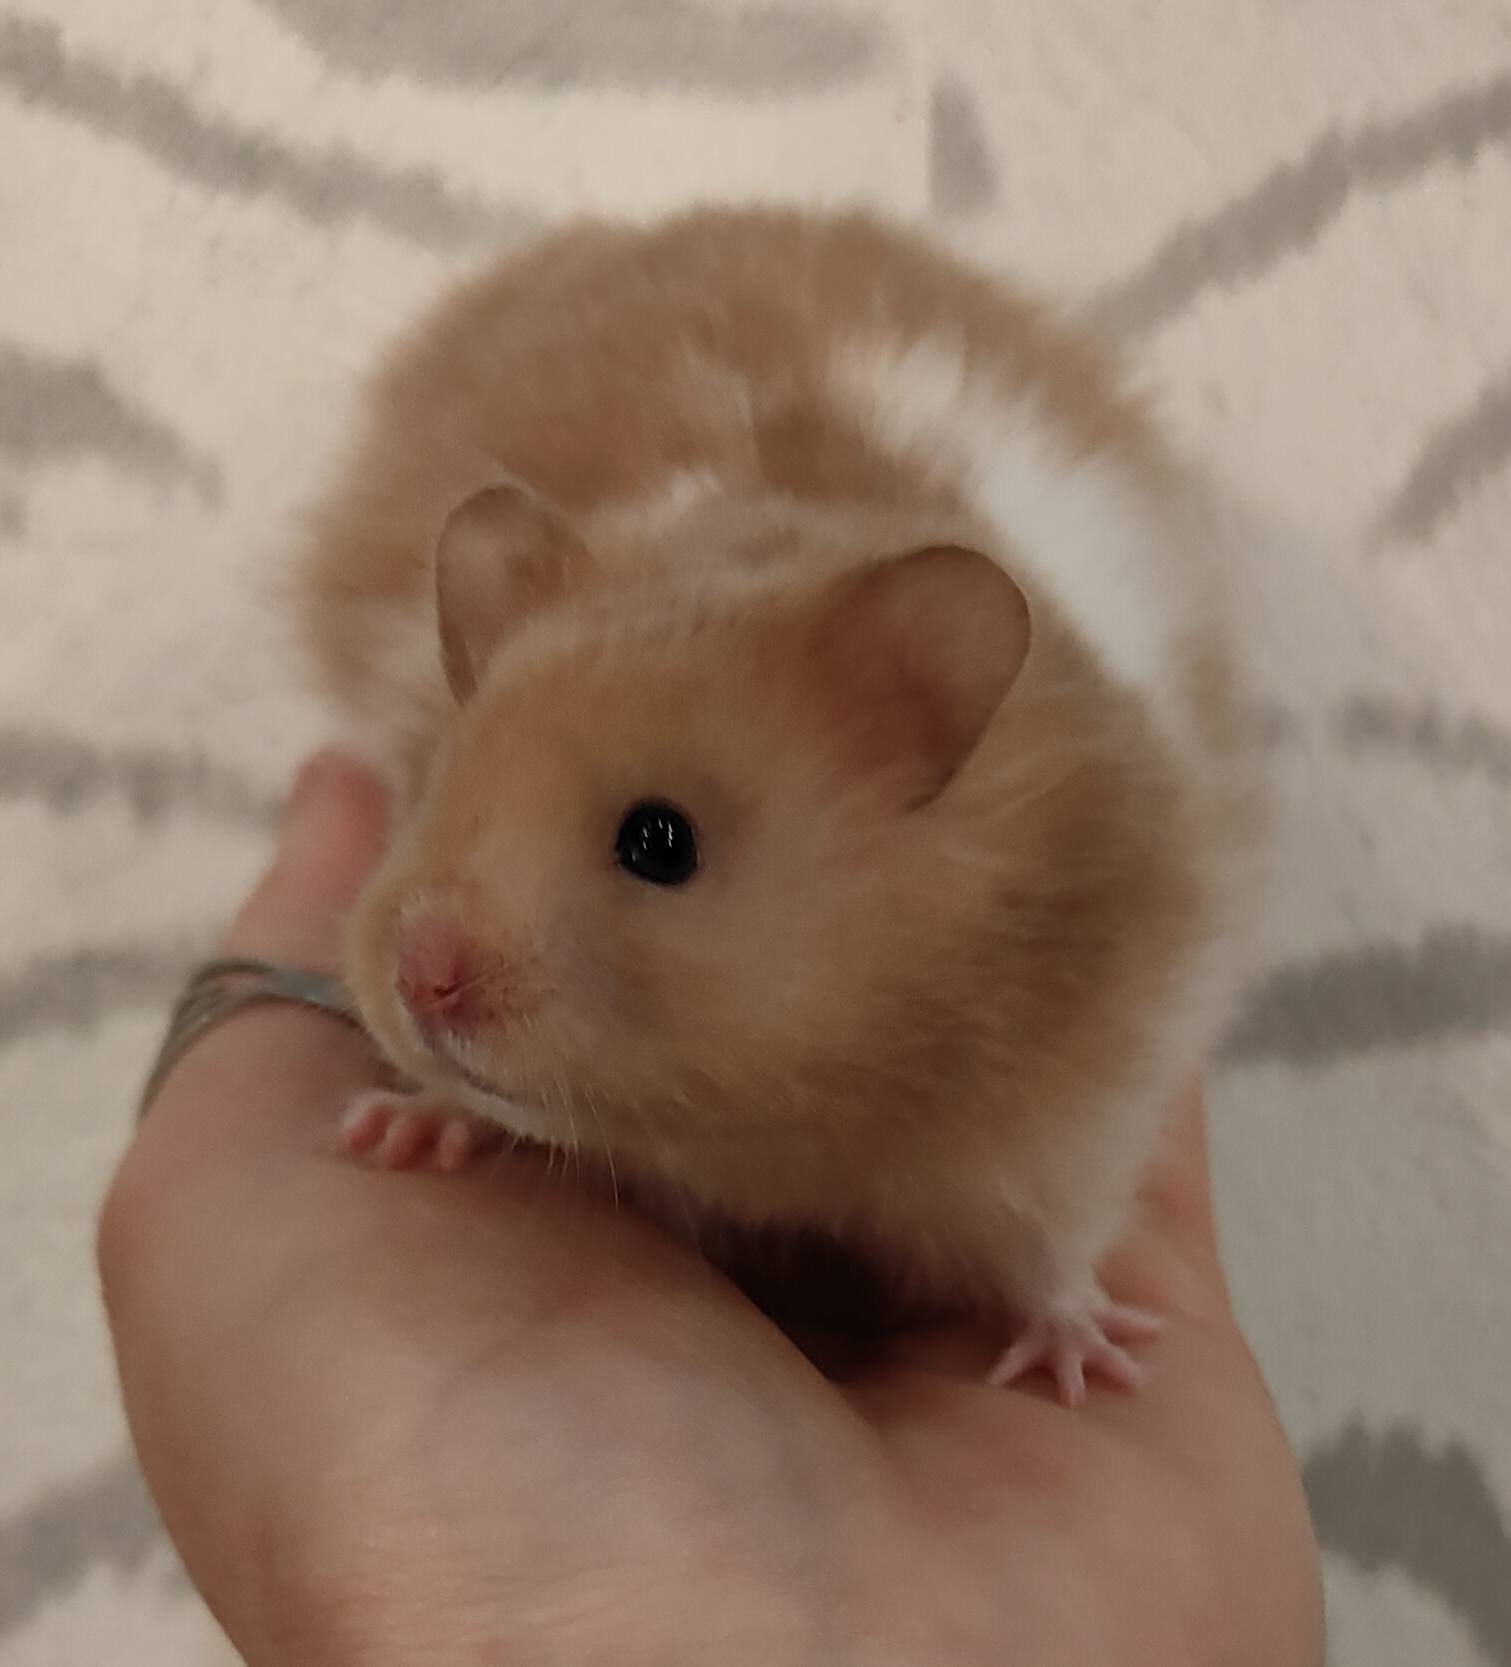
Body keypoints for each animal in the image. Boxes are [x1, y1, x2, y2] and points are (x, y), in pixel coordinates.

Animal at [297, 207, 1260, 1403]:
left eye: (660, 840)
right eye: (432, 785)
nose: (421, 981)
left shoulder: (1085, 1100)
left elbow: (1047, 1248)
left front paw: (1083, 1366)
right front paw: (395, 1129)